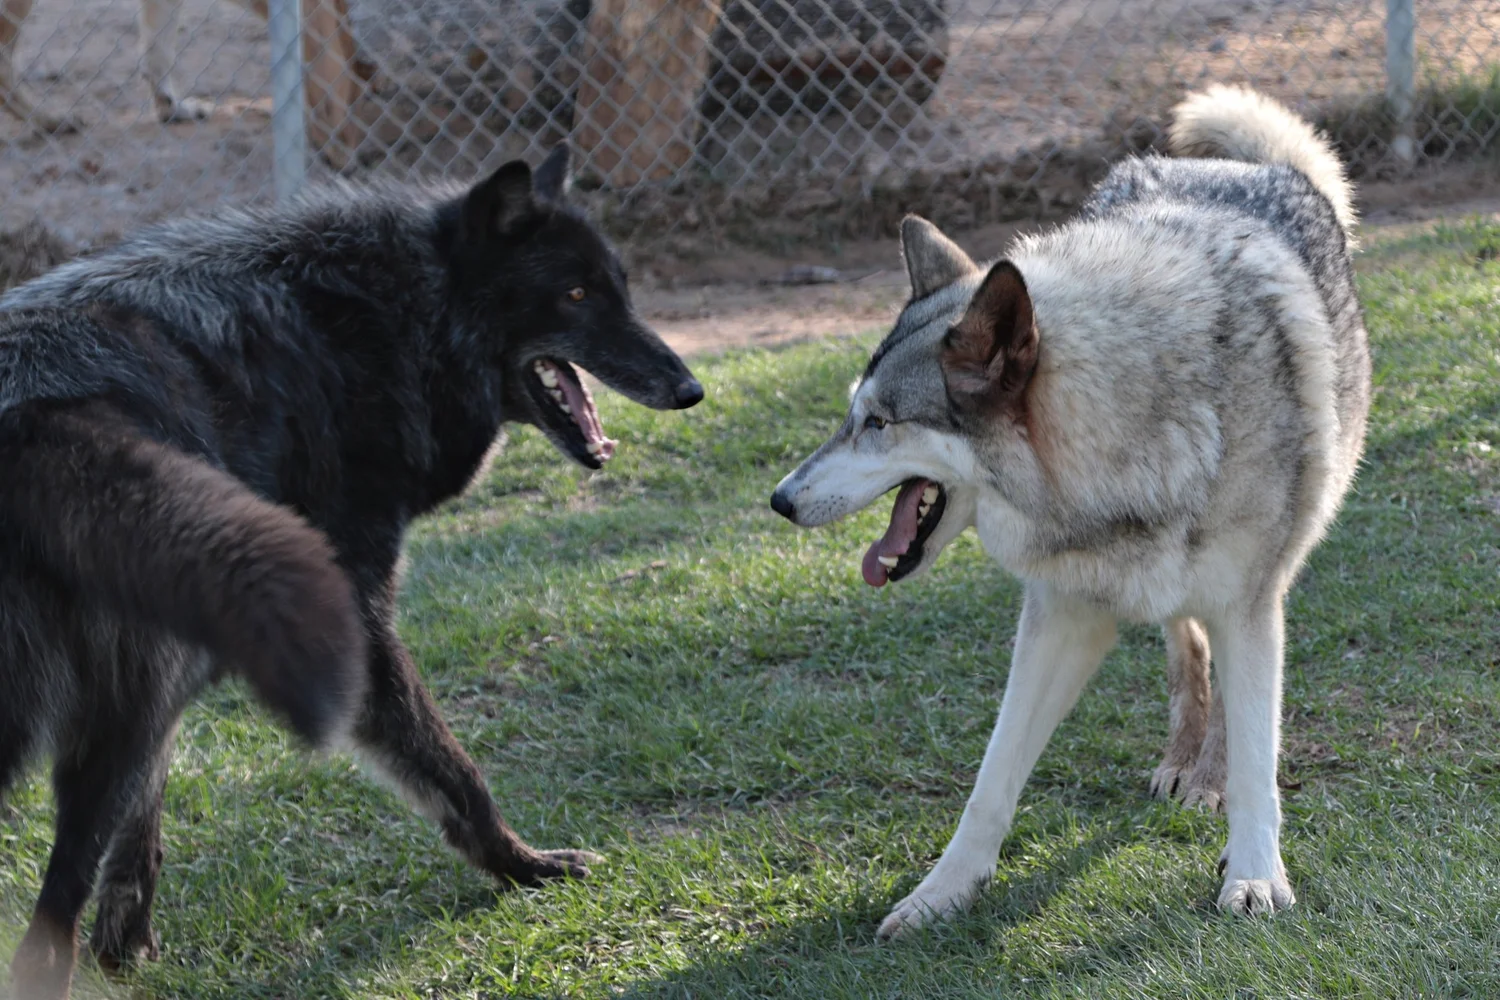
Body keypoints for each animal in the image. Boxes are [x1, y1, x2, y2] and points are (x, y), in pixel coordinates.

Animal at [0, 144, 702, 999]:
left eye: (621, 289)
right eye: (574, 294)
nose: (690, 388)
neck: (392, 320)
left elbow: (146, 813)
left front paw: (126, 945)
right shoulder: (350, 619)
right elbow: (453, 771)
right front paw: (523, 868)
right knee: (46, 928)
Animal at [771, 85, 1369, 938]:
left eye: (879, 423)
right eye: (852, 415)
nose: (780, 499)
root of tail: (1238, 167)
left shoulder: (1249, 604)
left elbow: (1260, 758)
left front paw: (1254, 875)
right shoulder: (1060, 618)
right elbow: (992, 781)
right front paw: (941, 894)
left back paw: (1207, 777)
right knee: (1186, 649)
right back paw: (1183, 763)